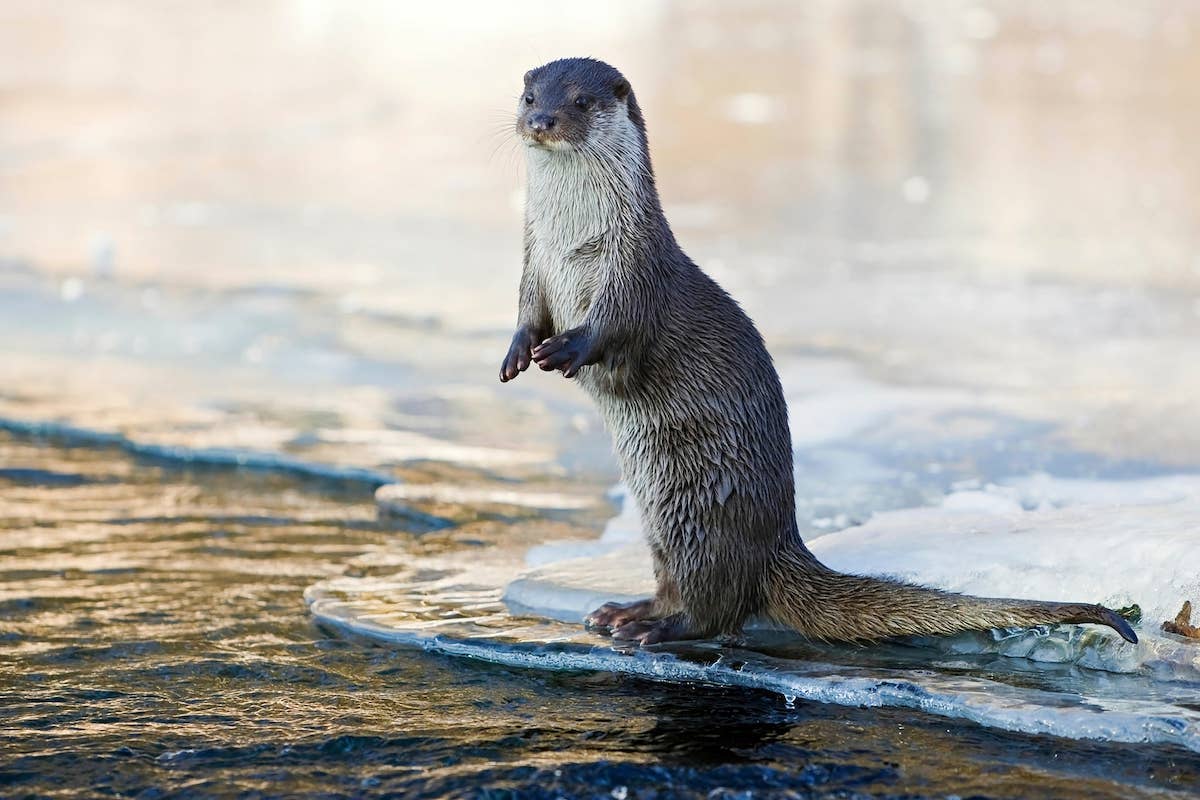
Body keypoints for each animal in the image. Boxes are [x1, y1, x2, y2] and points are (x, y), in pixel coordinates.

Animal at [498, 57, 1137, 647]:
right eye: (530, 96)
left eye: (580, 101)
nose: (541, 121)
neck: (573, 247)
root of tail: (778, 542)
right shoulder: (533, 265)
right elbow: (528, 312)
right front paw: (516, 354)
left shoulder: (635, 270)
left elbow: (617, 327)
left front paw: (568, 348)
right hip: (660, 523)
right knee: (675, 585)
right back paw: (623, 612)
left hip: (702, 516)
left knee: (716, 607)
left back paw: (656, 628)